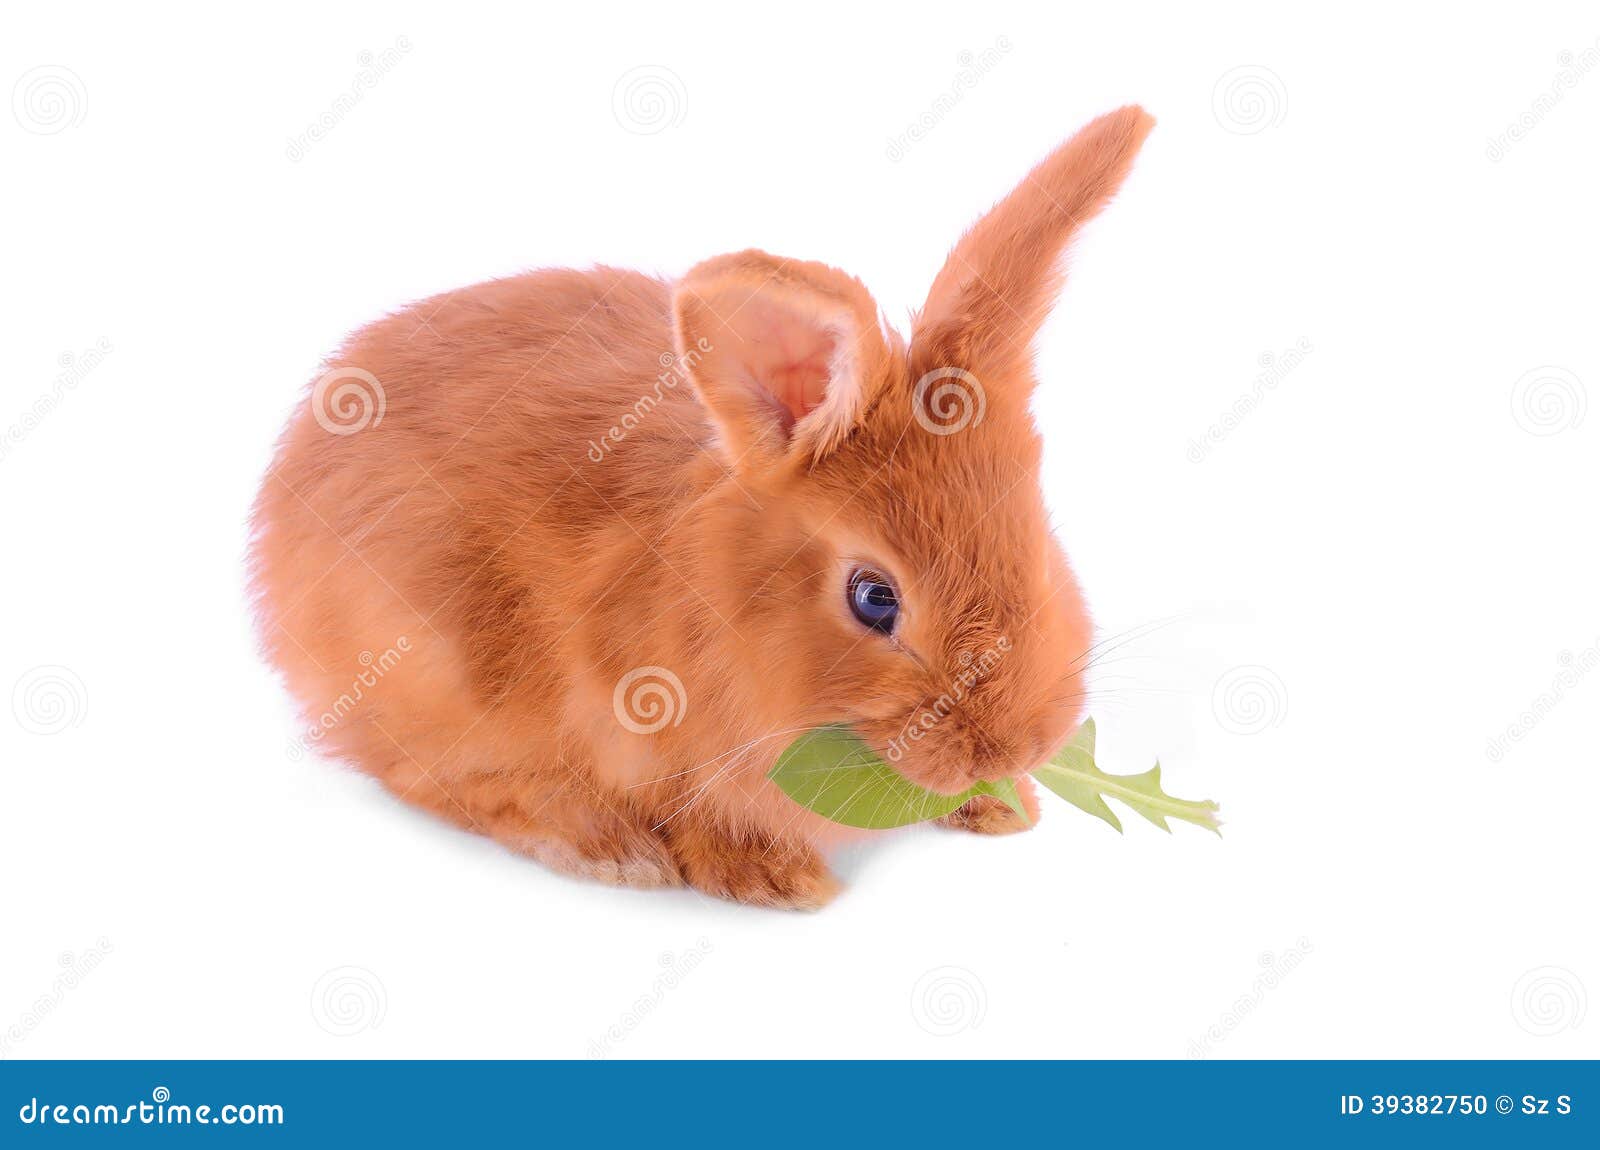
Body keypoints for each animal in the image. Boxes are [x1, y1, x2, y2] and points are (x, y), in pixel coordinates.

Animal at [249, 106, 1153, 908]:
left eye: (1041, 549)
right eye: (874, 598)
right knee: (428, 774)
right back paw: (602, 846)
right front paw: (771, 879)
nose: (1010, 745)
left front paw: (1004, 806)